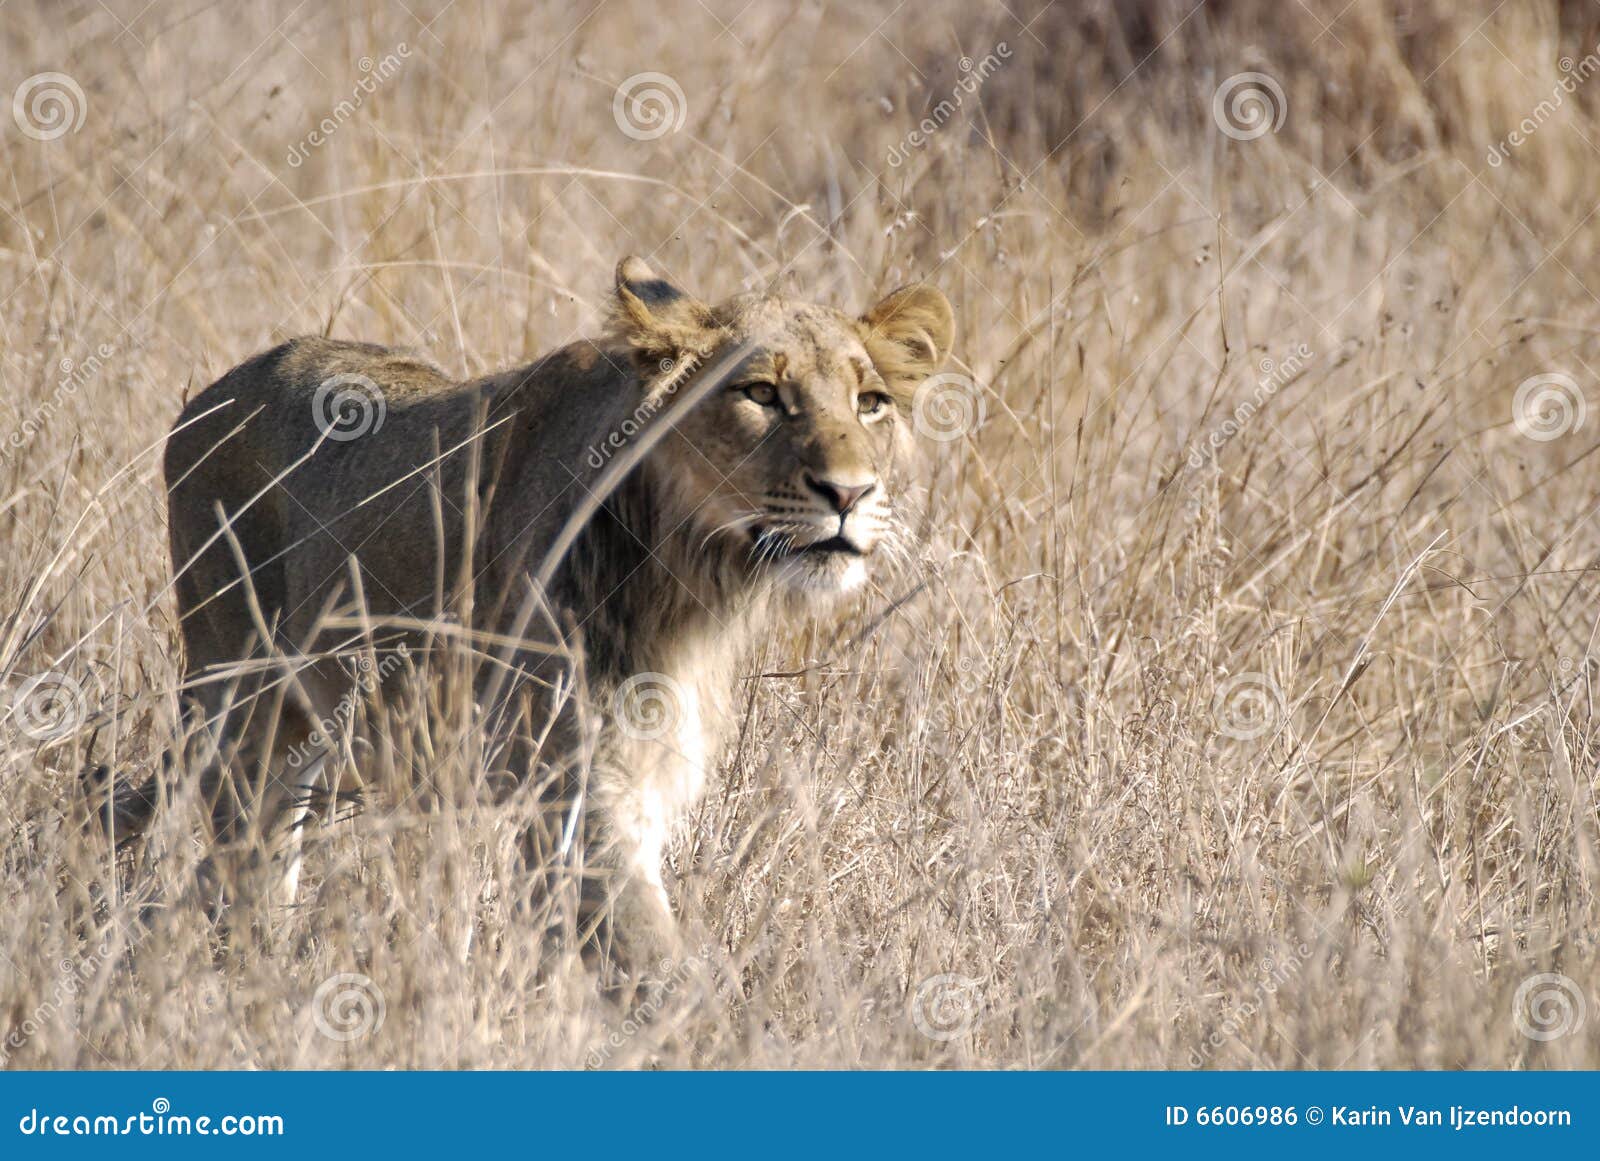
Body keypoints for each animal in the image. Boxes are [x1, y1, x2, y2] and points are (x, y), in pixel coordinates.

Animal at [100, 256, 953, 978]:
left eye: (871, 403)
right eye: (762, 395)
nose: (850, 492)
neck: (689, 582)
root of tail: (211, 393)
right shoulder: (569, 784)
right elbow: (650, 961)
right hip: (237, 697)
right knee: (236, 850)